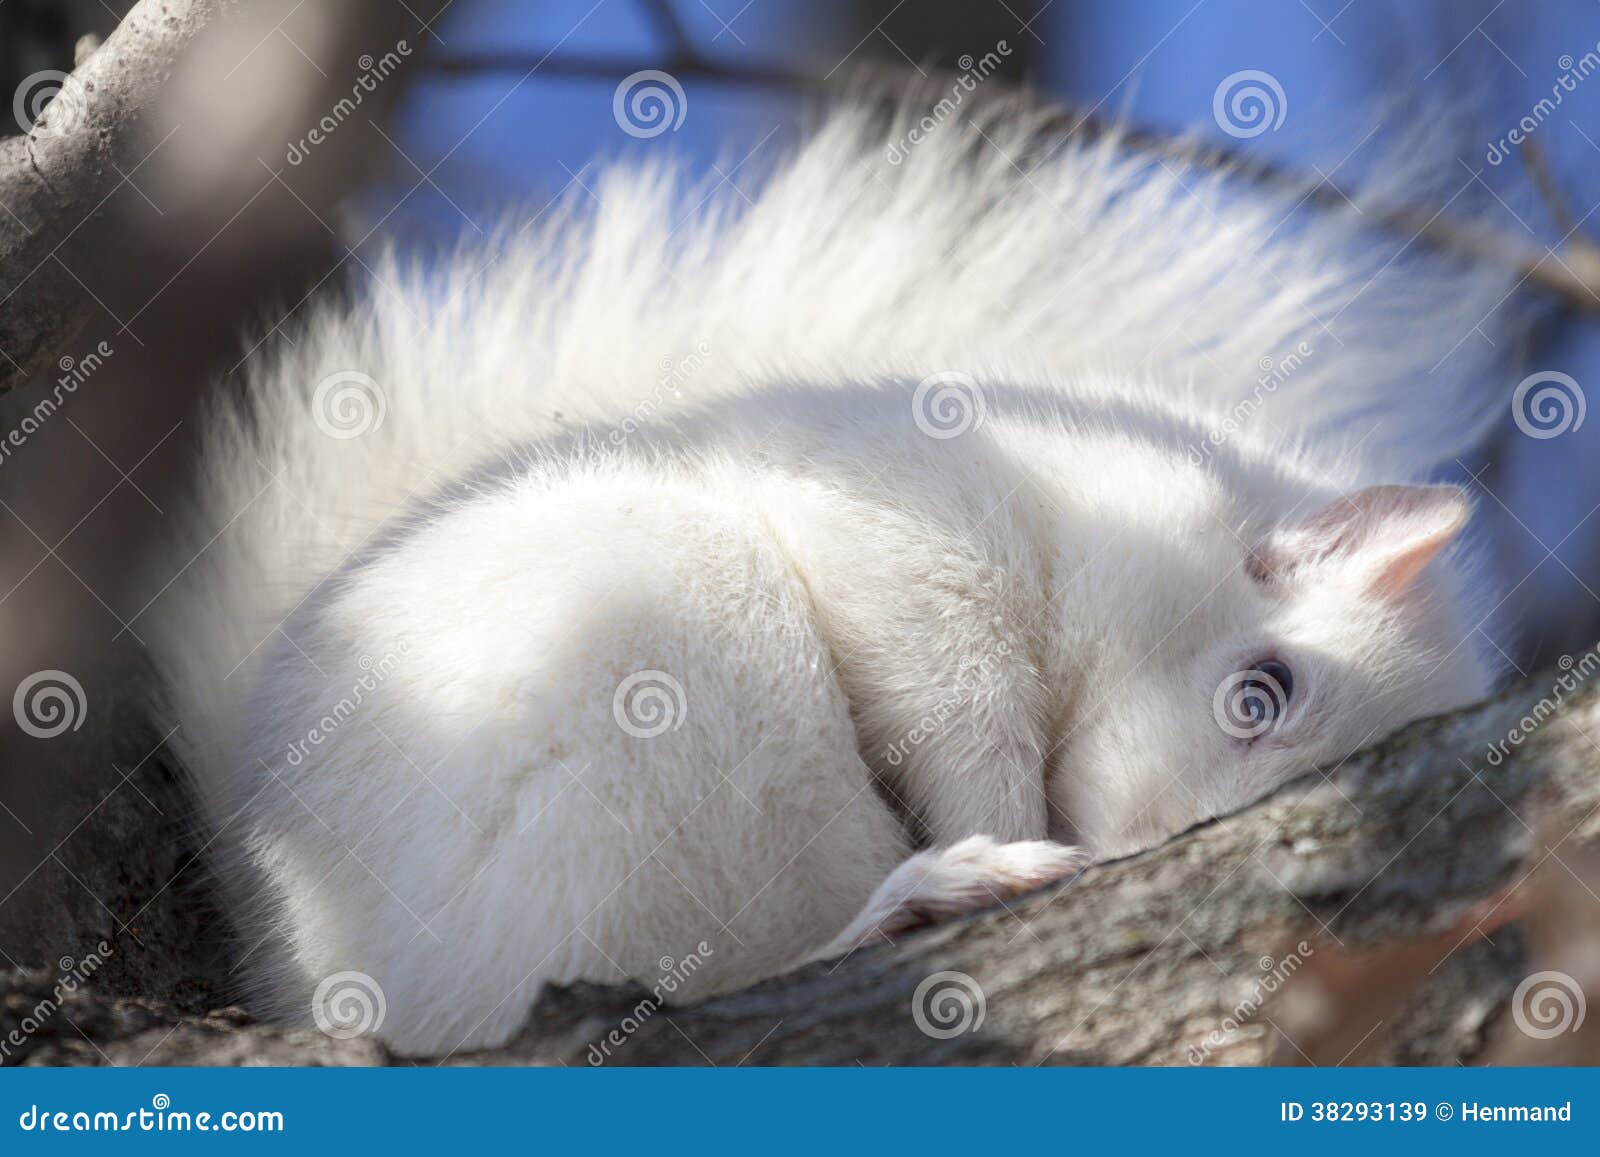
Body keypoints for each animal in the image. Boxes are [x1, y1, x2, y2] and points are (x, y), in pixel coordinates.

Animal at [144, 105, 1514, 1054]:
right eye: (1258, 694)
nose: (1150, 848)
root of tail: (302, 957)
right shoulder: (918, 537)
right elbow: (948, 702)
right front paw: (1001, 819)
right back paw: (928, 889)